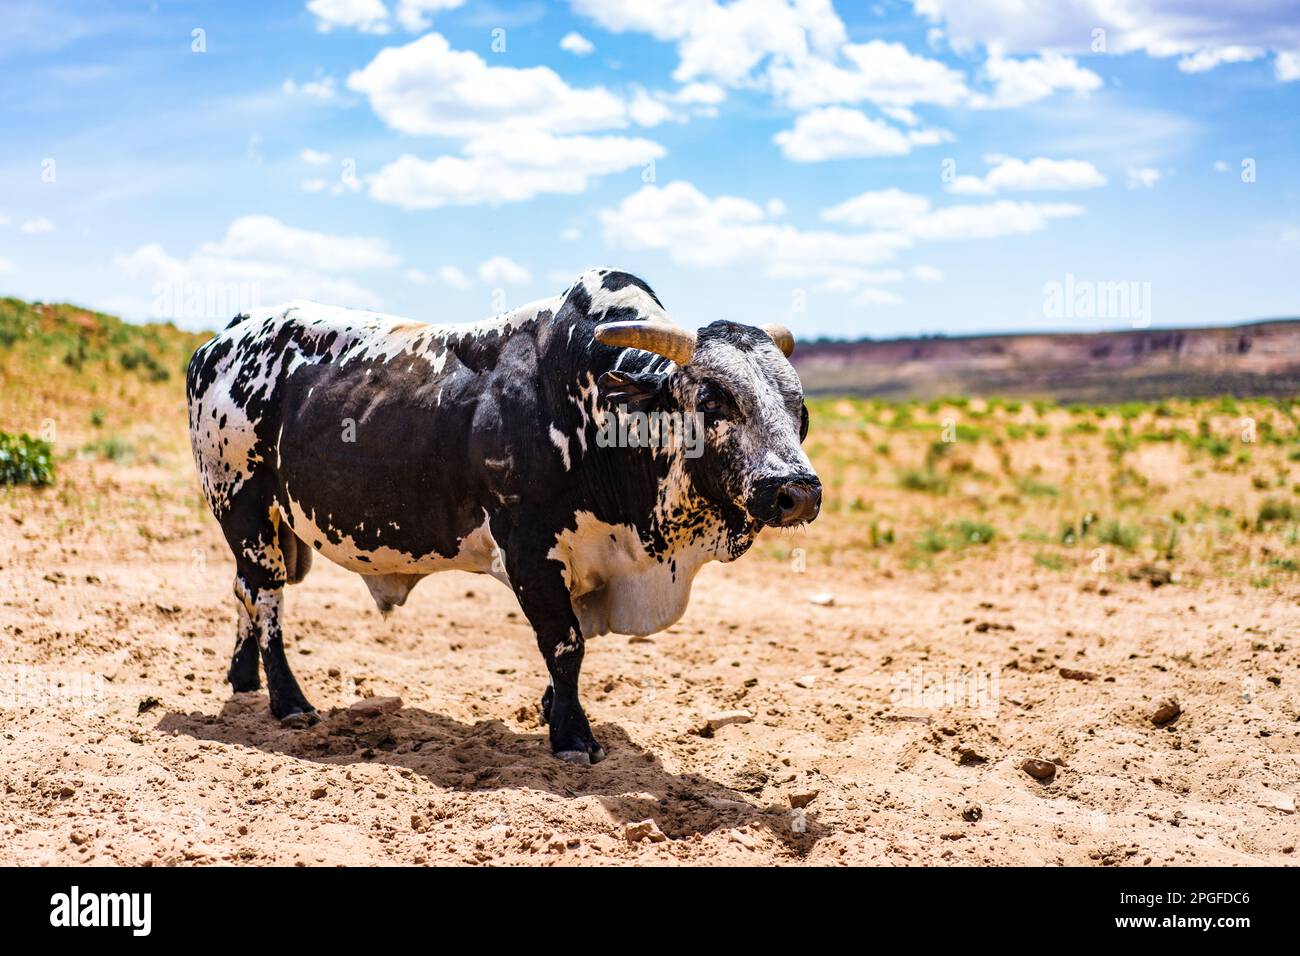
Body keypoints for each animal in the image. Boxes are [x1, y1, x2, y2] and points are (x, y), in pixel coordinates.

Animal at [185, 269, 821, 764]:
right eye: (713, 398)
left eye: (800, 408)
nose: (797, 491)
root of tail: (228, 334)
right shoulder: (530, 549)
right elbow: (565, 644)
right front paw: (571, 736)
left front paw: (552, 711)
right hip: (239, 499)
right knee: (264, 595)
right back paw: (288, 701)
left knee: (244, 589)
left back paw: (243, 681)